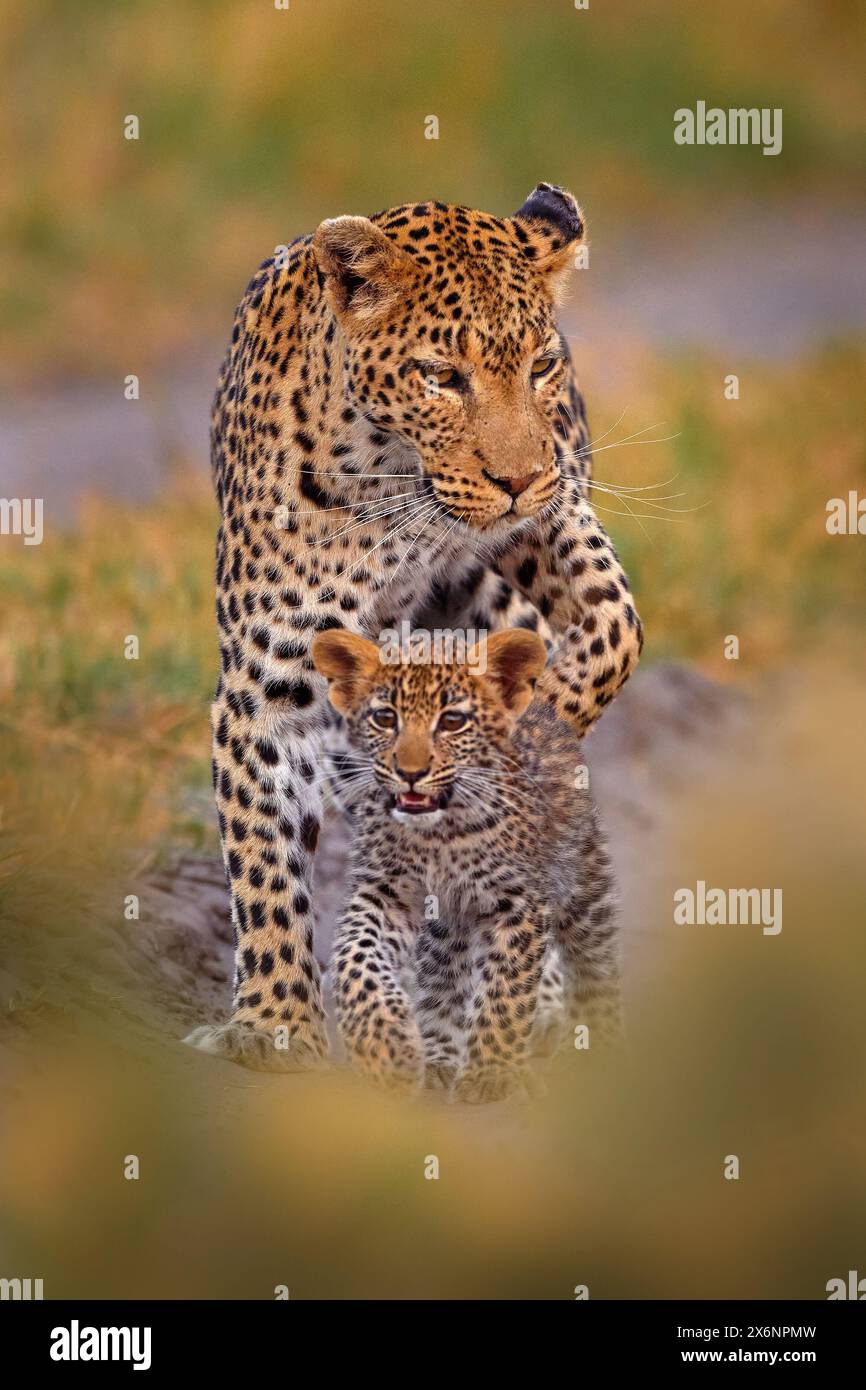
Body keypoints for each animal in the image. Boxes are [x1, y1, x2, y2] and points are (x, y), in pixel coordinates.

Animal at [311, 625, 621, 1103]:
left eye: (453, 721)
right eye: (384, 718)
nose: (410, 773)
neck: (439, 835)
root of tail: (544, 708)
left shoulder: (520, 902)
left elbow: (506, 991)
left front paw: (490, 1072)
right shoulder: (385, 892)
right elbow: (354, 957)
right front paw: (384, 1043)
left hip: (583, 885)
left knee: (596, 962)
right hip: (445, 926)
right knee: (443, 983)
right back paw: (438, 1062)